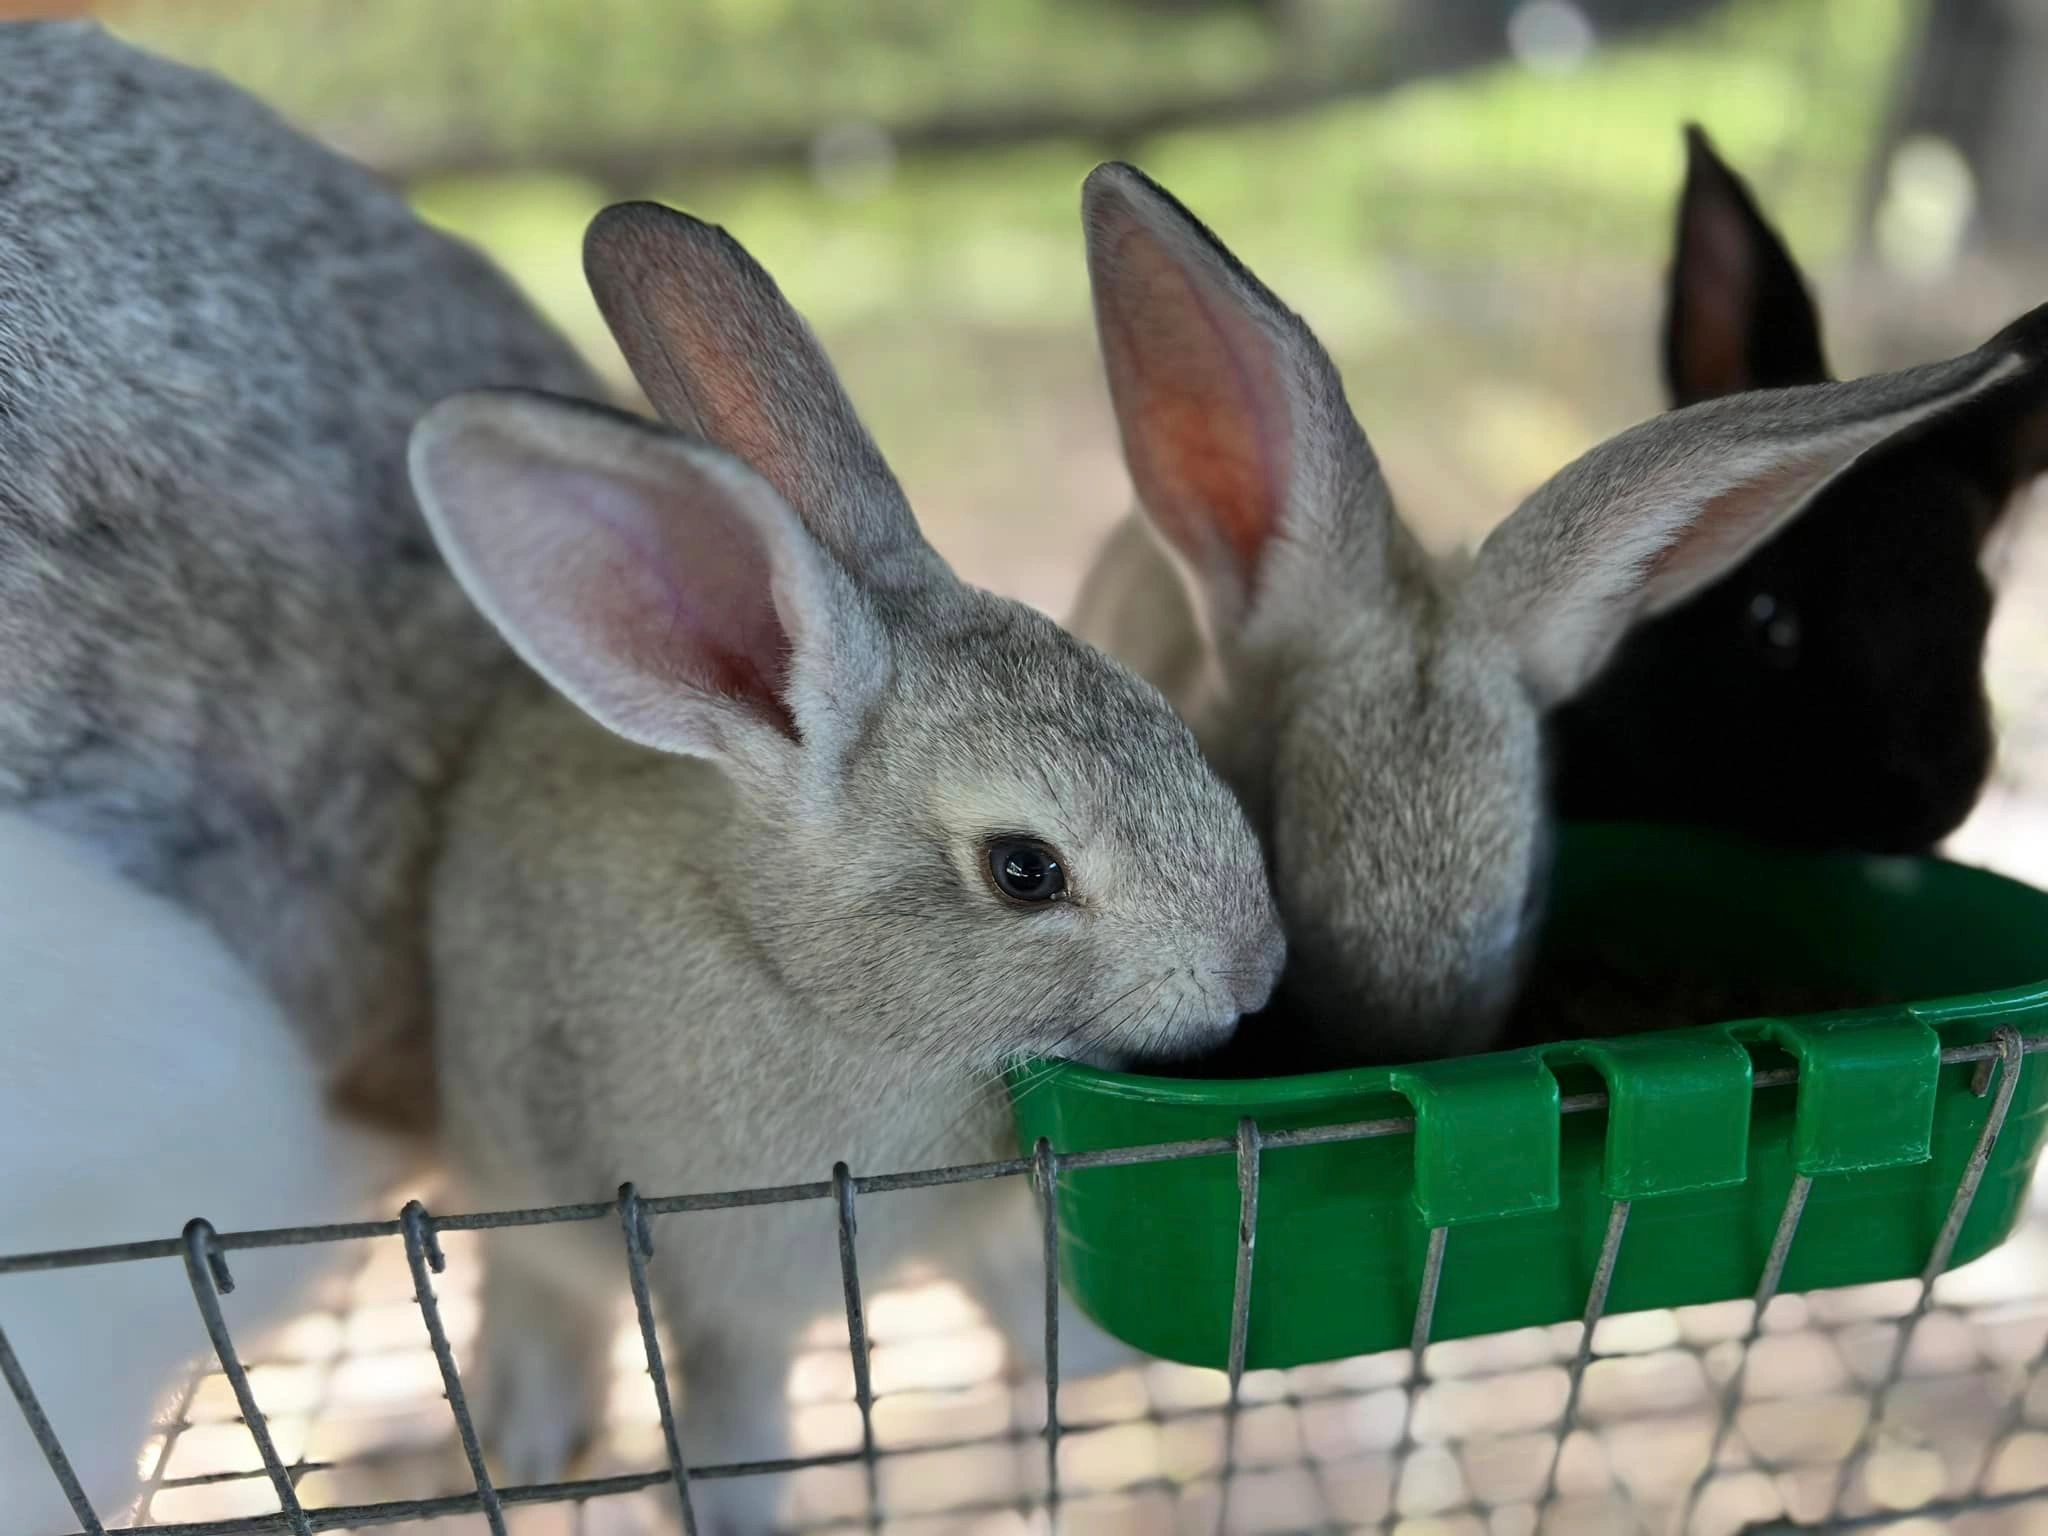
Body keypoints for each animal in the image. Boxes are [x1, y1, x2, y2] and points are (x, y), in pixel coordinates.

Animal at [405, 201, 1285, 1532]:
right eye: (1023, 870)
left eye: (1165, 720)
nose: (1254, 972)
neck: (810, 983)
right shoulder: (722, 1302)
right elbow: (731, 1422)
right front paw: (731, 1518)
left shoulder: (985, 1232)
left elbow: (1028, 1299)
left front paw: (1100, 1370)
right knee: (534, 1280)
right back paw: (529, 1422)